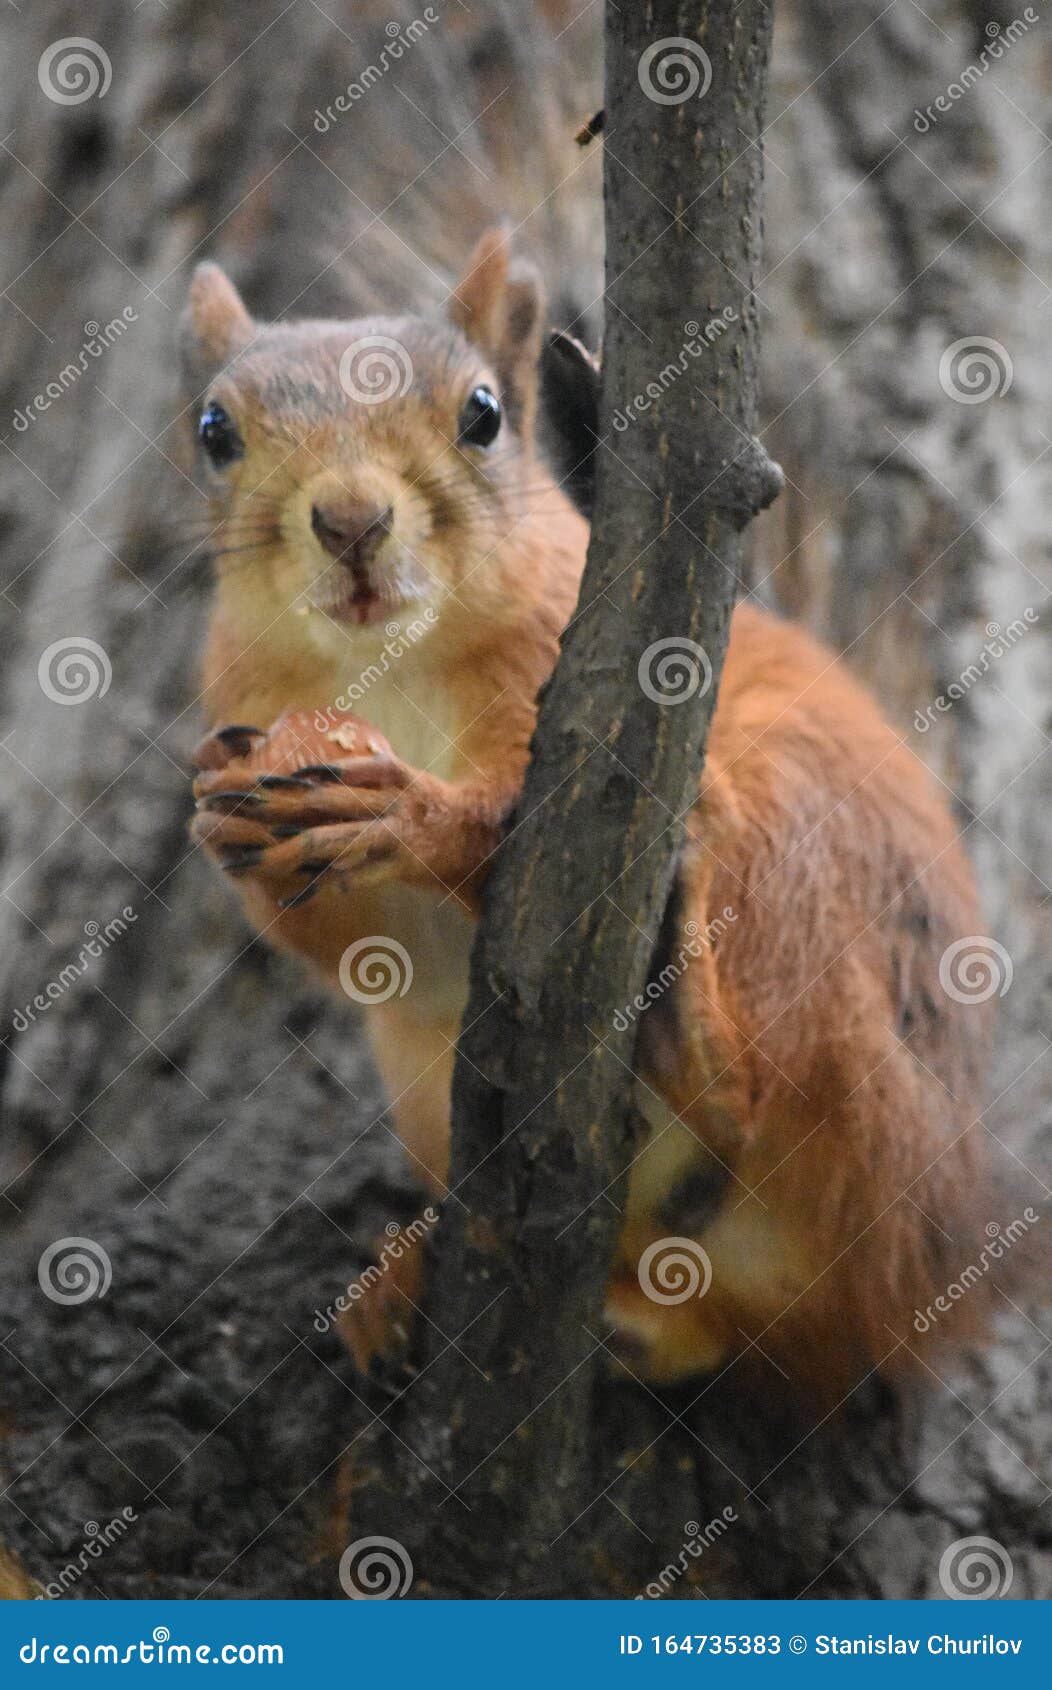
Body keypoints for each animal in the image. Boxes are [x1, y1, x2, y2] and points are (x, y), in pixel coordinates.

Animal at [185, 228, 990, 1400]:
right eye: (213, 431)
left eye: (483, 414)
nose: (350, 522)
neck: (383, 663)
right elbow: (373, 946)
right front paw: (230, 831)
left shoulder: (583, 678)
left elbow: (514, 826)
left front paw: (414, 816)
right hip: (427, 1080)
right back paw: (428, 1282)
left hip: (787, 860)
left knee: (752, 1099)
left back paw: (686, 1040)